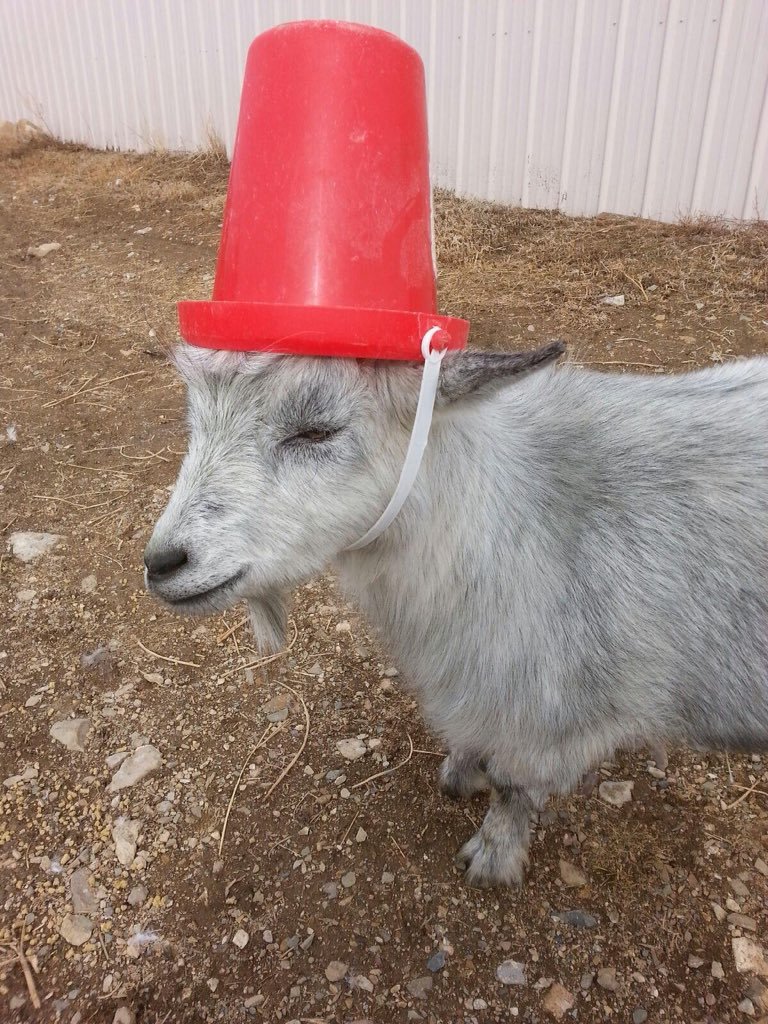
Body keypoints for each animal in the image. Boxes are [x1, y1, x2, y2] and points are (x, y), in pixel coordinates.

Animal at [145, 343, 768, 886]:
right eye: (195, 422)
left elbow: (513, 786)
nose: (160, 563)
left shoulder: (554, 719)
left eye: (317, 430)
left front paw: (492, 857)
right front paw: (462, 768)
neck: (512, 521)